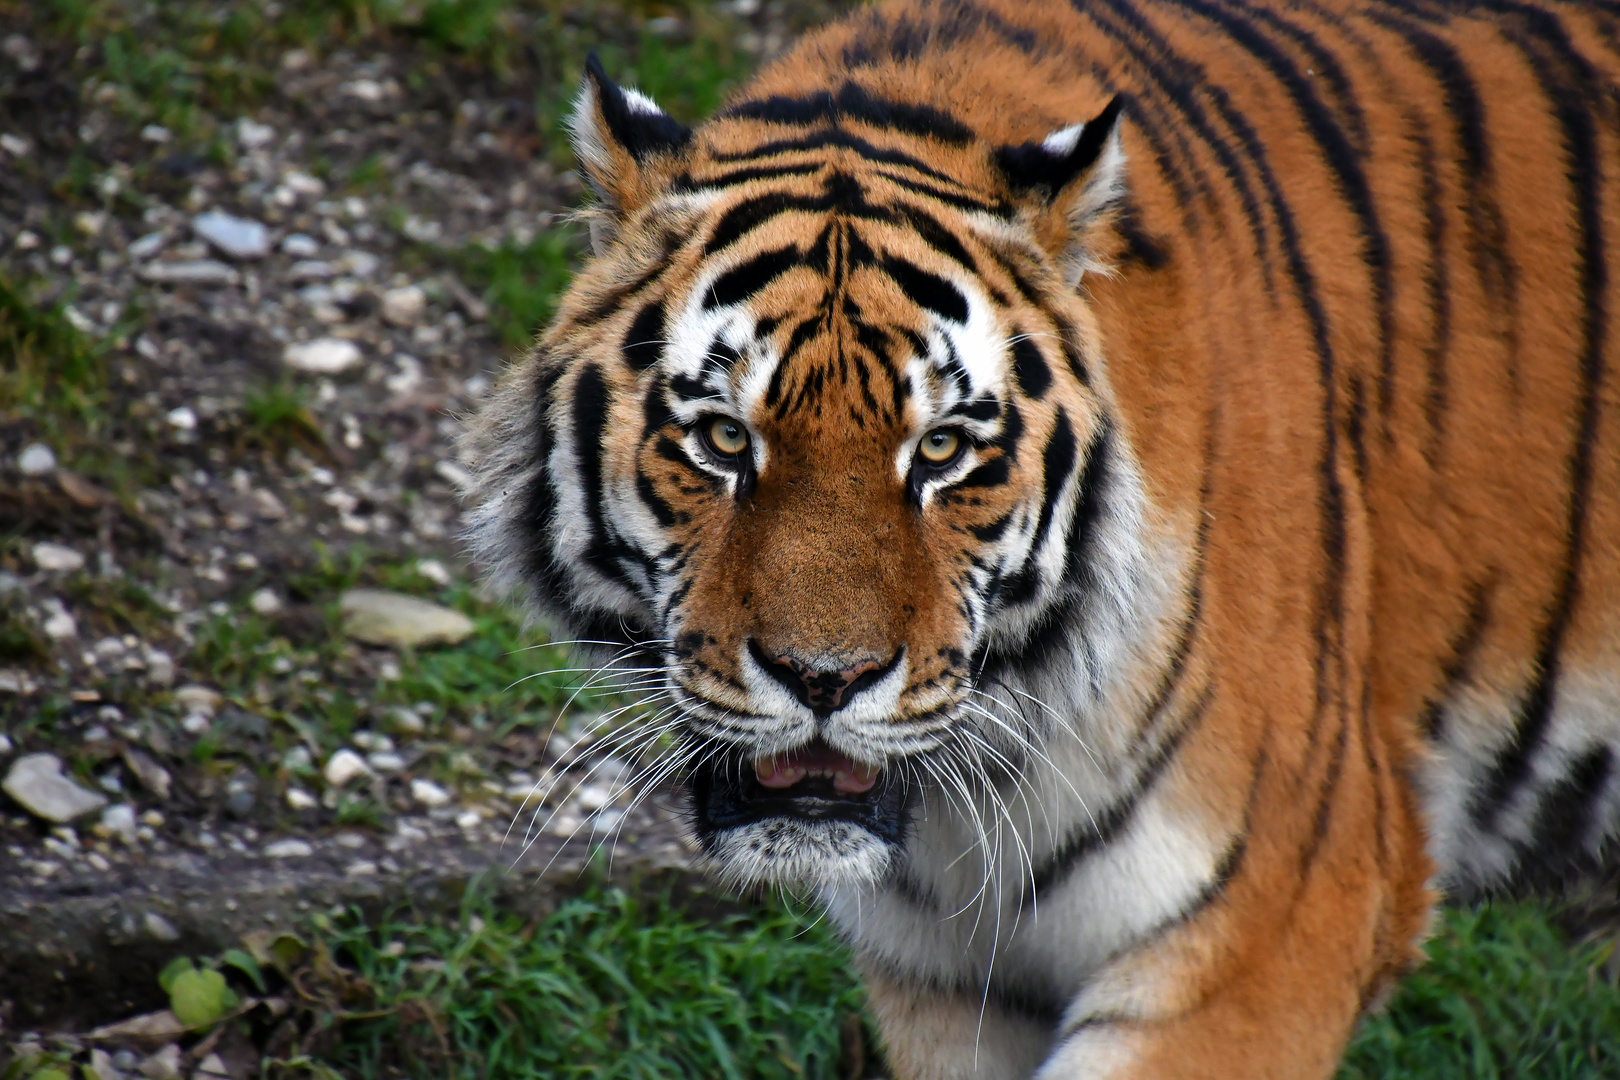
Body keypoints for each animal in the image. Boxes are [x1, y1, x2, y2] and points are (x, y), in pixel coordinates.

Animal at [462, 0, 1620, 1075]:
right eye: (721, 440)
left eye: (940, 451)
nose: (826, 680)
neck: (967, 814)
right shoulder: (946, 983)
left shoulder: (1268, 930)